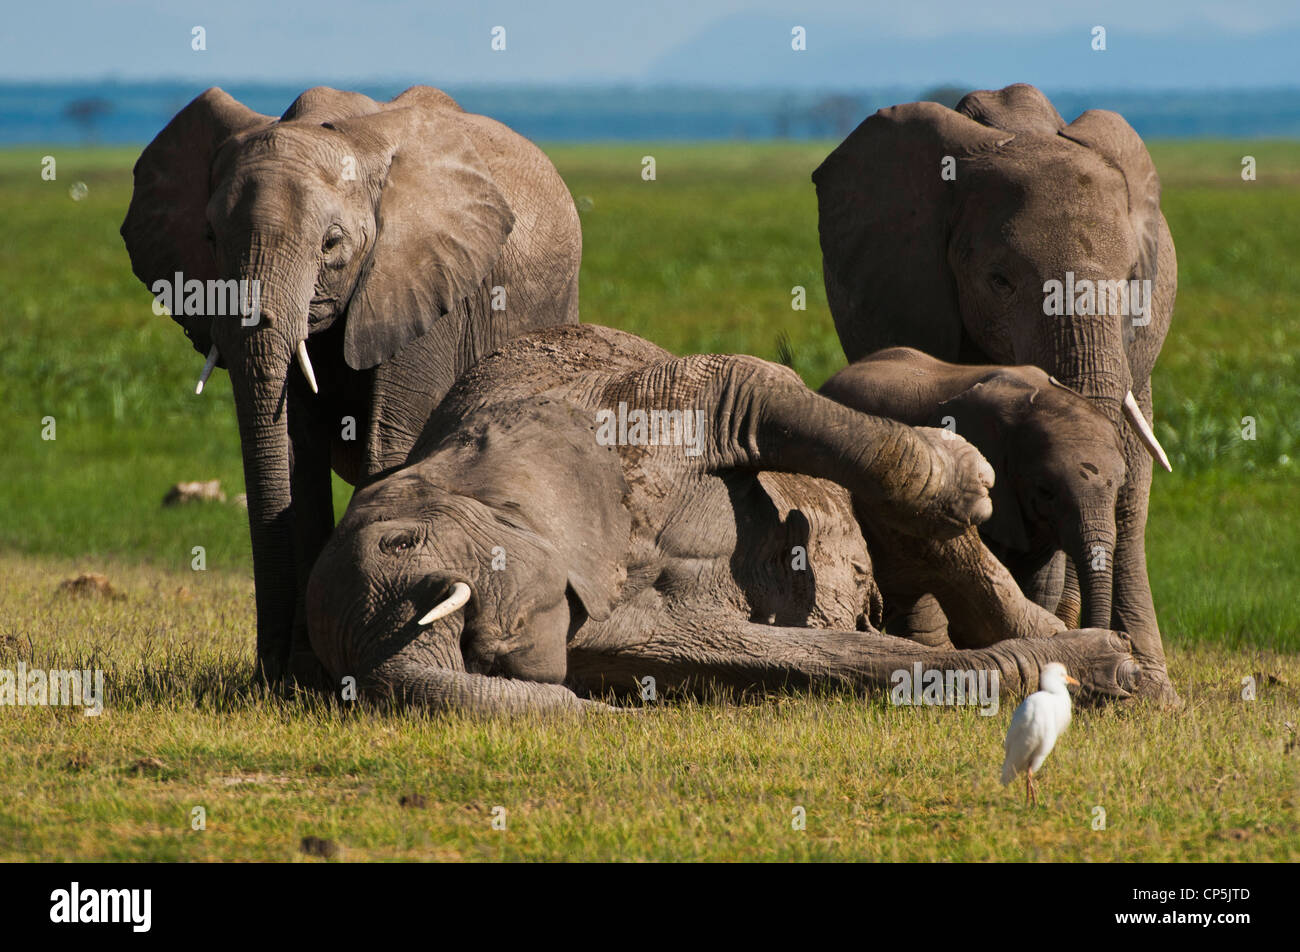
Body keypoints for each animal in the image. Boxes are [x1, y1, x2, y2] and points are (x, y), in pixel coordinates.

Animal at [120, 85, 582, 684]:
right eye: (209, 237)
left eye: (332, 243)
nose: (267, 672)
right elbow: (296, 454)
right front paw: (302, 676)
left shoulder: (423, 279)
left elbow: (391, 441)